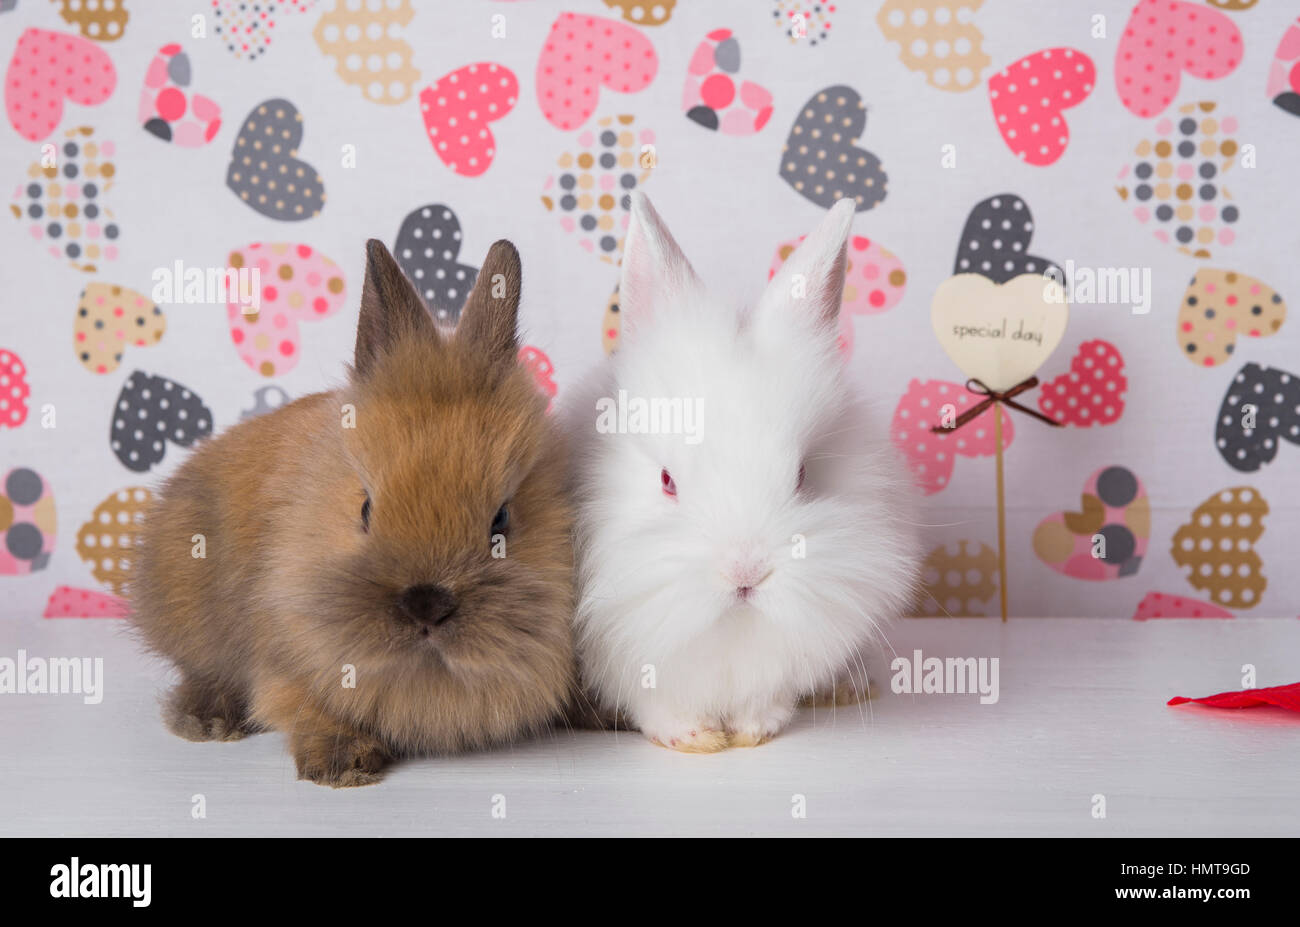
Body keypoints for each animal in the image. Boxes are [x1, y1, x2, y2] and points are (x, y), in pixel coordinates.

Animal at [130, 239, 576, 787]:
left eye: (502, 520)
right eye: (365, 508)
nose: (426, 604)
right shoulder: (283, 663)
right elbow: (298, 704)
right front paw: (342, 766)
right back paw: (207, 721)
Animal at [564, 193, 922, 752]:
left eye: (802, 475)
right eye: (666, 480)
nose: (746, 573)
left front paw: (754, 730)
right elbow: (654, 705)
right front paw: (695, 739)